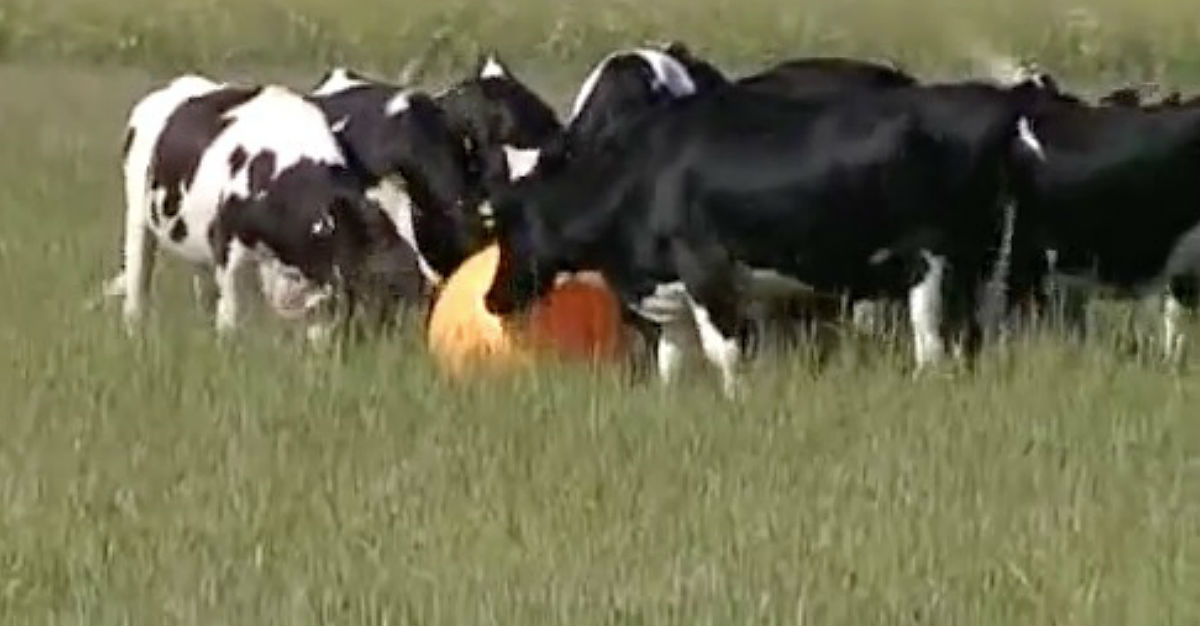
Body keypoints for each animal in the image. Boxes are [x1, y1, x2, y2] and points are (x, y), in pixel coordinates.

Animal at [481, 81, 1047, 398]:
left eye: (506, 228)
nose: (489, 299)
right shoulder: (677, 291)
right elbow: (673, 358)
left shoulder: (707, 271)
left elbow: (724, 353)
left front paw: (738, 403)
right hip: (981, 263)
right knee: (968, 341)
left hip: (934, 260)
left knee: (933, 345)